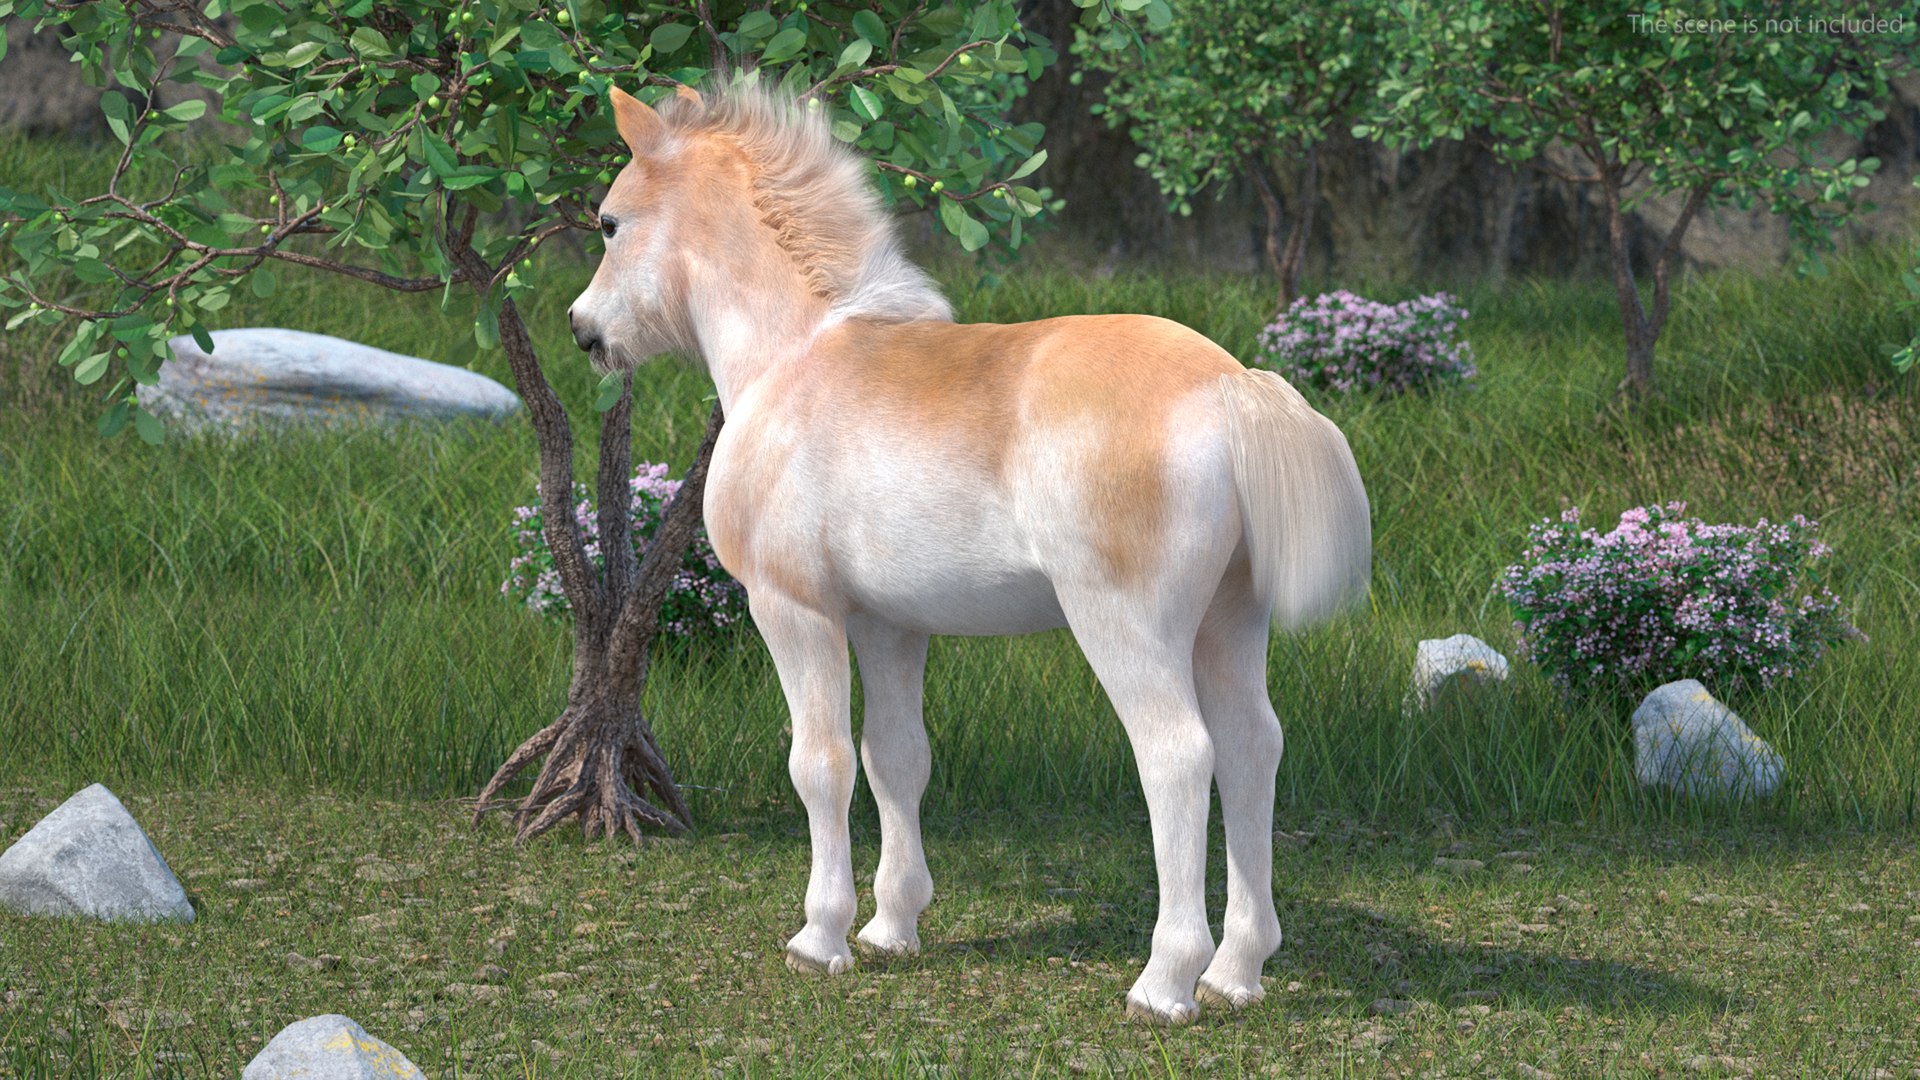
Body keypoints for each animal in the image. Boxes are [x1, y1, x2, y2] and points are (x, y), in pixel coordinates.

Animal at [567, 83, 1372, 1024]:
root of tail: (1230, 385)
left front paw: (820, 936)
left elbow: (821, 764)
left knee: (1177, 756)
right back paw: (1236, 972)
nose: (584, 331)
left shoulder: (792, 608)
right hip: (1230, 624)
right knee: (1252, 748)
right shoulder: (888, 626)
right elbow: (894, 758)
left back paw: (1166, 982)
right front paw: (890, 927)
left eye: (611, 221)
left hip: (1125, 626)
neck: (793, 357)